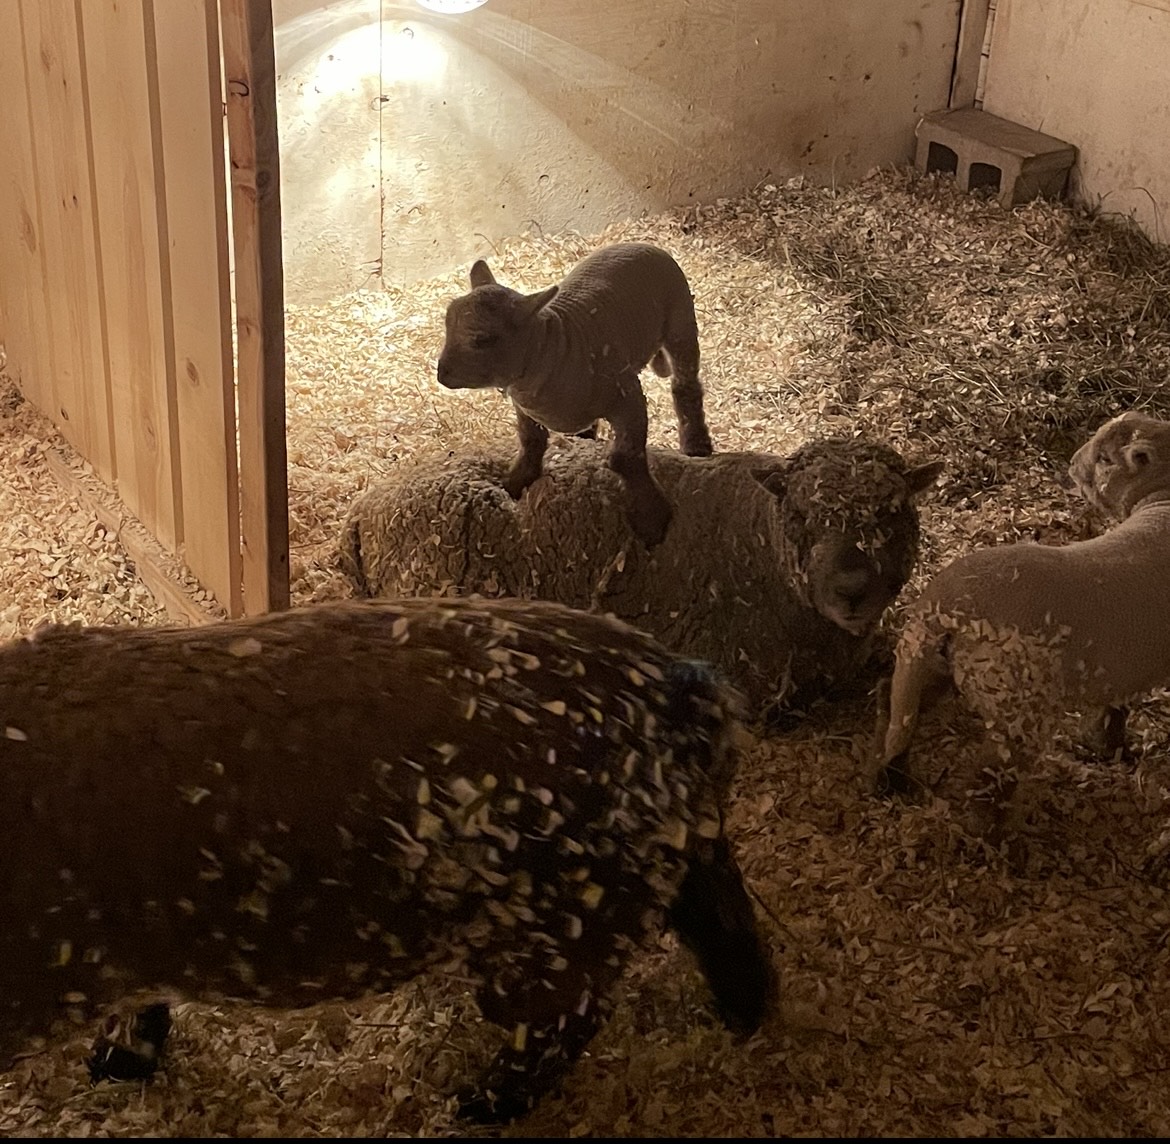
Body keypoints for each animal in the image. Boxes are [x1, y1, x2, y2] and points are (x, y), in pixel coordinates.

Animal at [0, 596, 773, 1124]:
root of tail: (681, 687)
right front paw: (114, 1067)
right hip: (679, 853)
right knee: (730, 931)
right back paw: (745, 1022)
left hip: (557, 931)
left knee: (562, 1023)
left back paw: (473, 1106)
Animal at [436, 241, 714, 547]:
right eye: (447, 322)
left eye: (483, 340)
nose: (442, 374)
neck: (552, 349)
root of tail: (639, 243)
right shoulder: (525, 408)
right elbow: (531, 442)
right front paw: (515, 481)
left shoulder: (627, 396)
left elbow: (625, 460)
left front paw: (651, 519)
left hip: (680, 321)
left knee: (685, 386)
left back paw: (696, 444)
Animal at [876, 410, 1170, 801]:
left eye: (1106, 459)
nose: (1072, 463)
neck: (1159, 502)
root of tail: (945, 598)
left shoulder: (1129, 668)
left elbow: (1116, 710)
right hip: (1012, 705)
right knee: (989, 776)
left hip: (929, 660)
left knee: (899, 707)